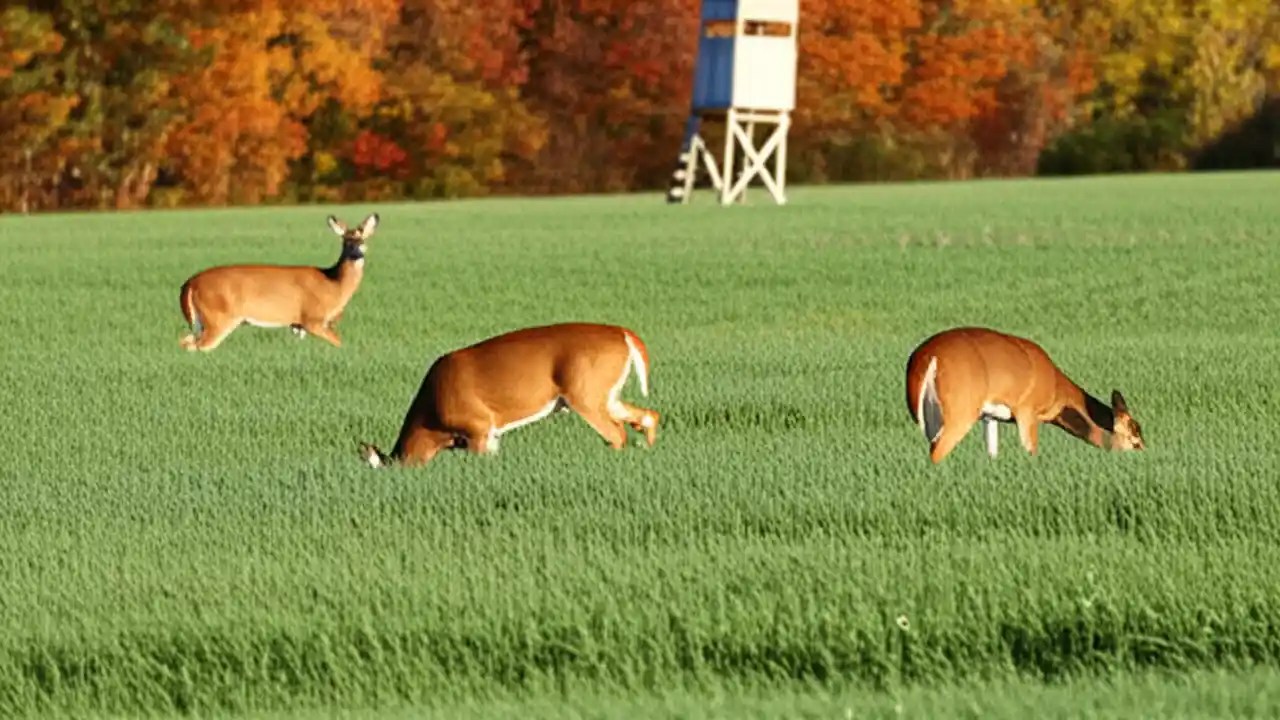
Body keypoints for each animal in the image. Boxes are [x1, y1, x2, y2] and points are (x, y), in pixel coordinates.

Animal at [177, 213, 378, 352]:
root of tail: (189, 283)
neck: (333, 284)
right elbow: (340, 343)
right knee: (198, 346)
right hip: (218, 317)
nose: (358, 252)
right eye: (346, 241)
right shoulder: (312, 319)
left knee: (185, 341)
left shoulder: (298, 326)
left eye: (362, 239)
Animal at [359, 322, 661, 468]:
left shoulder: (479, 427)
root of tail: (623, 334)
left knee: (617, 433)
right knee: (648, 415)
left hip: (585, 394)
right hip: (605, 395)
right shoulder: (490, 434)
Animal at [904, 326, 1146, 464]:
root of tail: (927, 357)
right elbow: (1031, 451)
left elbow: (992, 451)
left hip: (932, 416)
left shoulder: (990, 417)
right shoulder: (1027, 410)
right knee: (937, 452)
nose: (1145, 455)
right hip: (960, 410)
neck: (1057, 391)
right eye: (1135, 442)